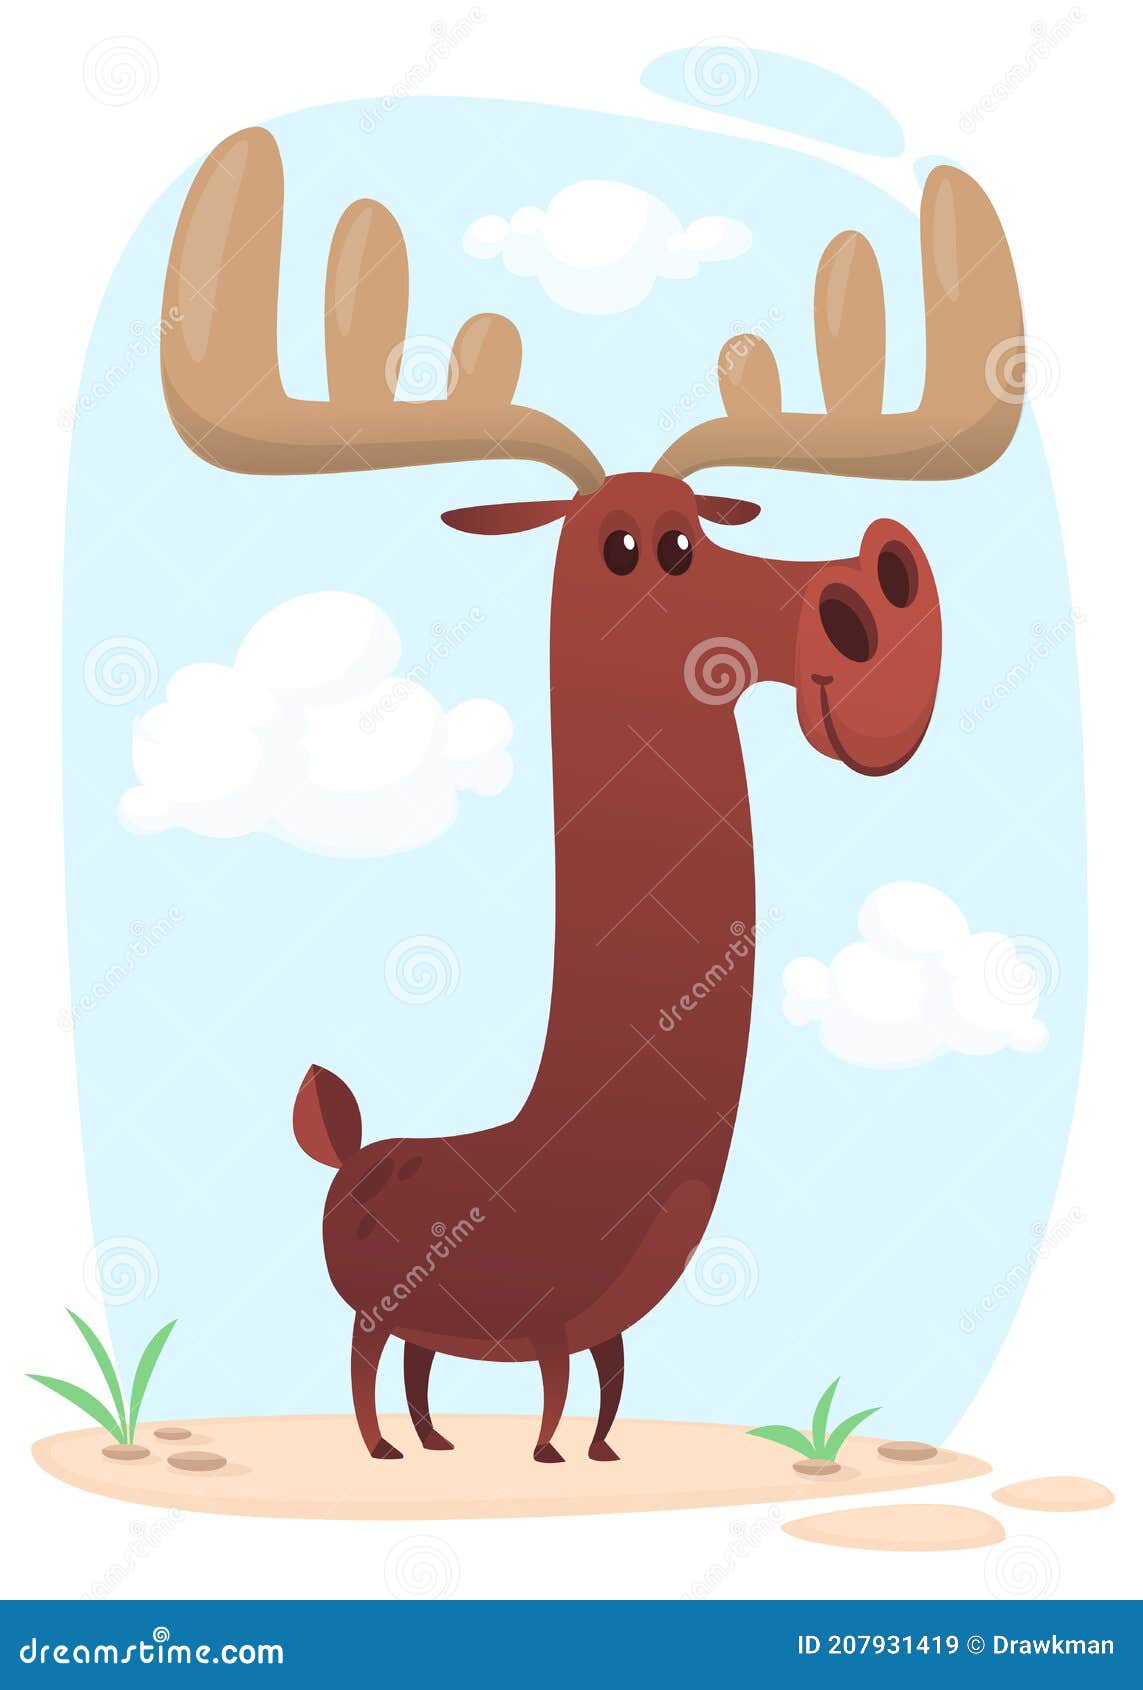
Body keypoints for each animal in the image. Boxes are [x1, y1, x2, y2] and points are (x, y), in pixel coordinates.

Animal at [161, 127, 1024, 1463]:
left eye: (698, 526)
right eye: (637, 548)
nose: (887, 588)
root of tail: (350, 1150)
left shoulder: (590, 1316)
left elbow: (597, 1373)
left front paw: (592, 1450)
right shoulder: (553, 1311)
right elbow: (565, 1372)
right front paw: (551, 1451)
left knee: (417, 1365)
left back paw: (437, 1441)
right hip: (371, 1307)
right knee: (368, 1358)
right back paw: (389, 1447)